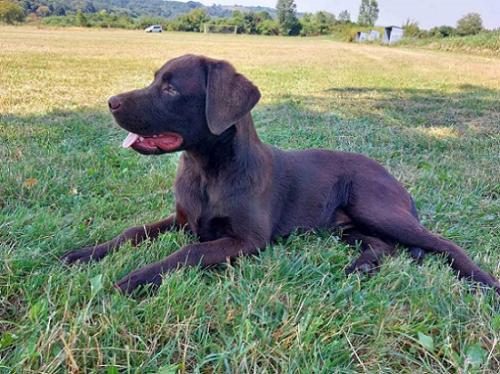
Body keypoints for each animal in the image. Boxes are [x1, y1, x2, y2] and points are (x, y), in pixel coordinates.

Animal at [60, 55, 498, 296]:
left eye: (170, 89)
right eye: (154, 79)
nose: (111, 102)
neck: (207, 170)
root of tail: (393, 179)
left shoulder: (247, 240)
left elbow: (188, 253)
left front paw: (134, 278)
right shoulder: (183, 219)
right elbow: (131, 231)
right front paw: (85, 254)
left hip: (375, 206)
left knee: (442, 244)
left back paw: (483, 281)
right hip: (346, 227)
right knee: (383, 245)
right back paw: (361, 266)